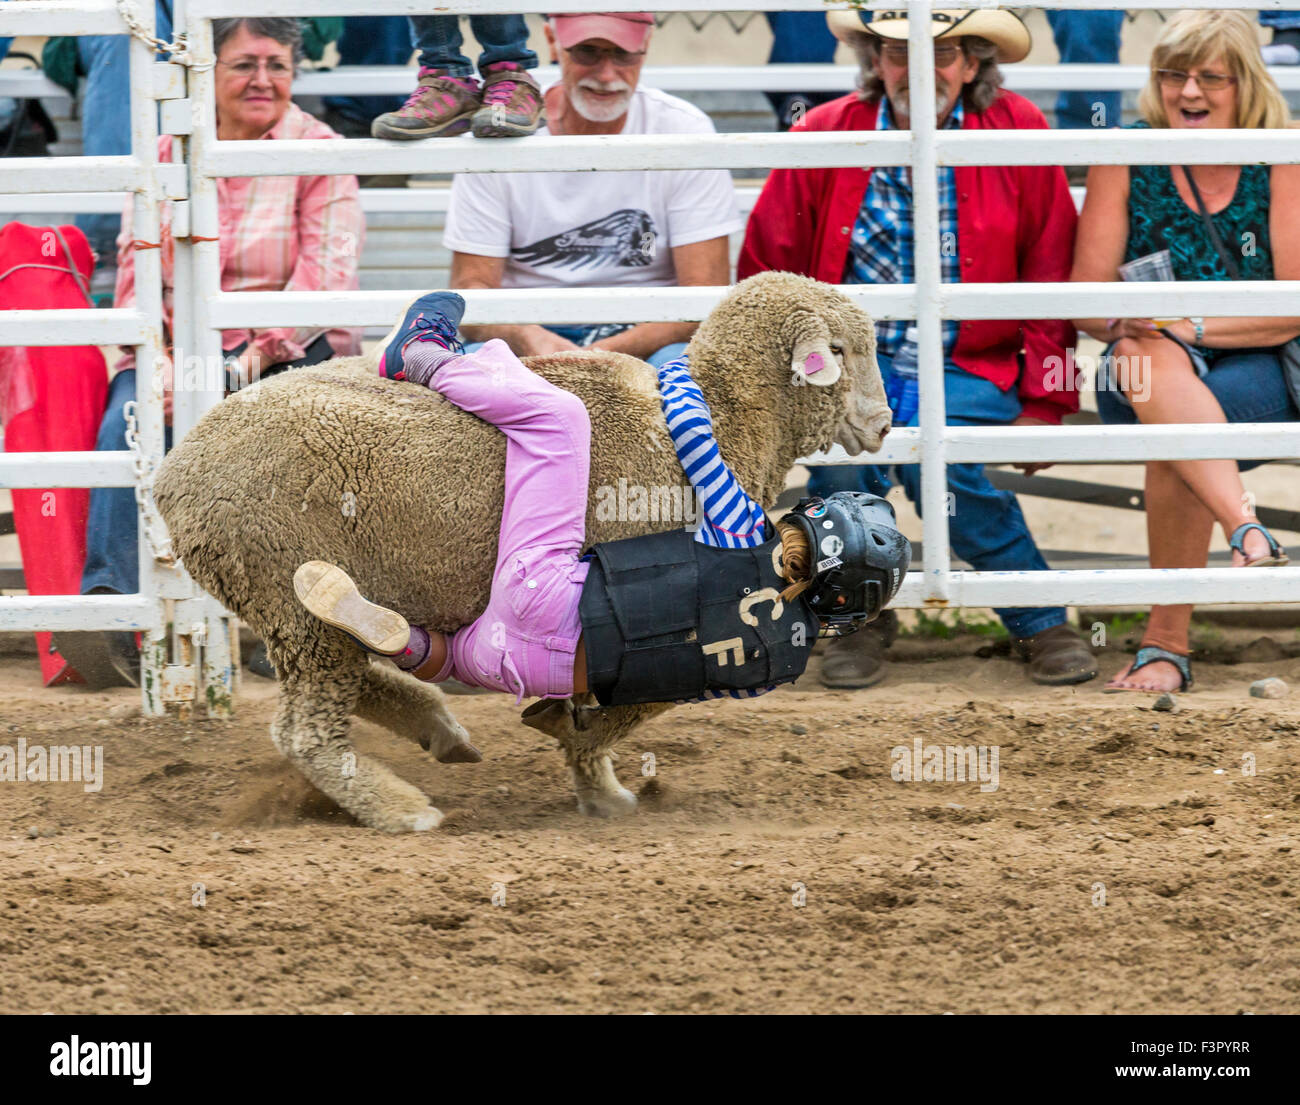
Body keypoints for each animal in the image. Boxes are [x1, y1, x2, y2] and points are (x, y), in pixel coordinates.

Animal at [153, 272, 887, 831]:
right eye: (842, 350)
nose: (882, 424)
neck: (718, 422)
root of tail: (174, 477)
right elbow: (635, 704)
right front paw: (595, 777)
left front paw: (594, 779)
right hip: (289, 591)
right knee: (305, 730)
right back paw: (401, 807)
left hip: (295, 609)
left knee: (358, 665)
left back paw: (438, 728)